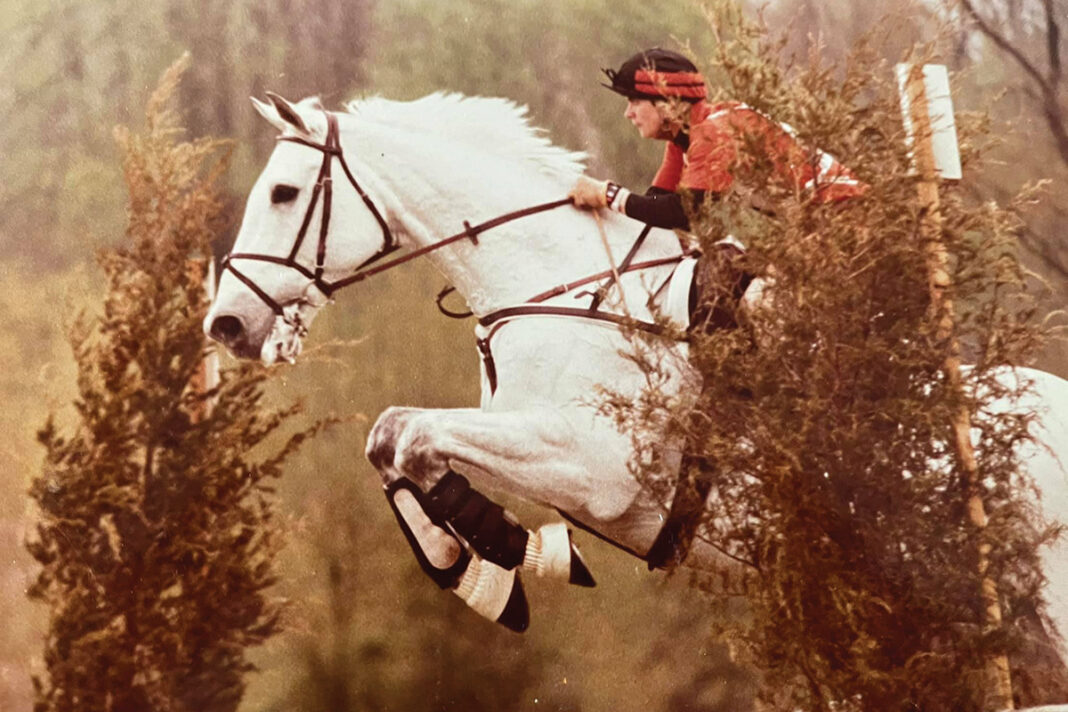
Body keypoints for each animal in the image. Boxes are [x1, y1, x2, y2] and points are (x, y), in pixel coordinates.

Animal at [203, 92, 1068, 646]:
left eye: (284, 192)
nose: (227, 324)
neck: (556, 285)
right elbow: (391, 438)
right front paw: (477, 565)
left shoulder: (589, 464)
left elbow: (412, 435)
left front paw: (505, 553)